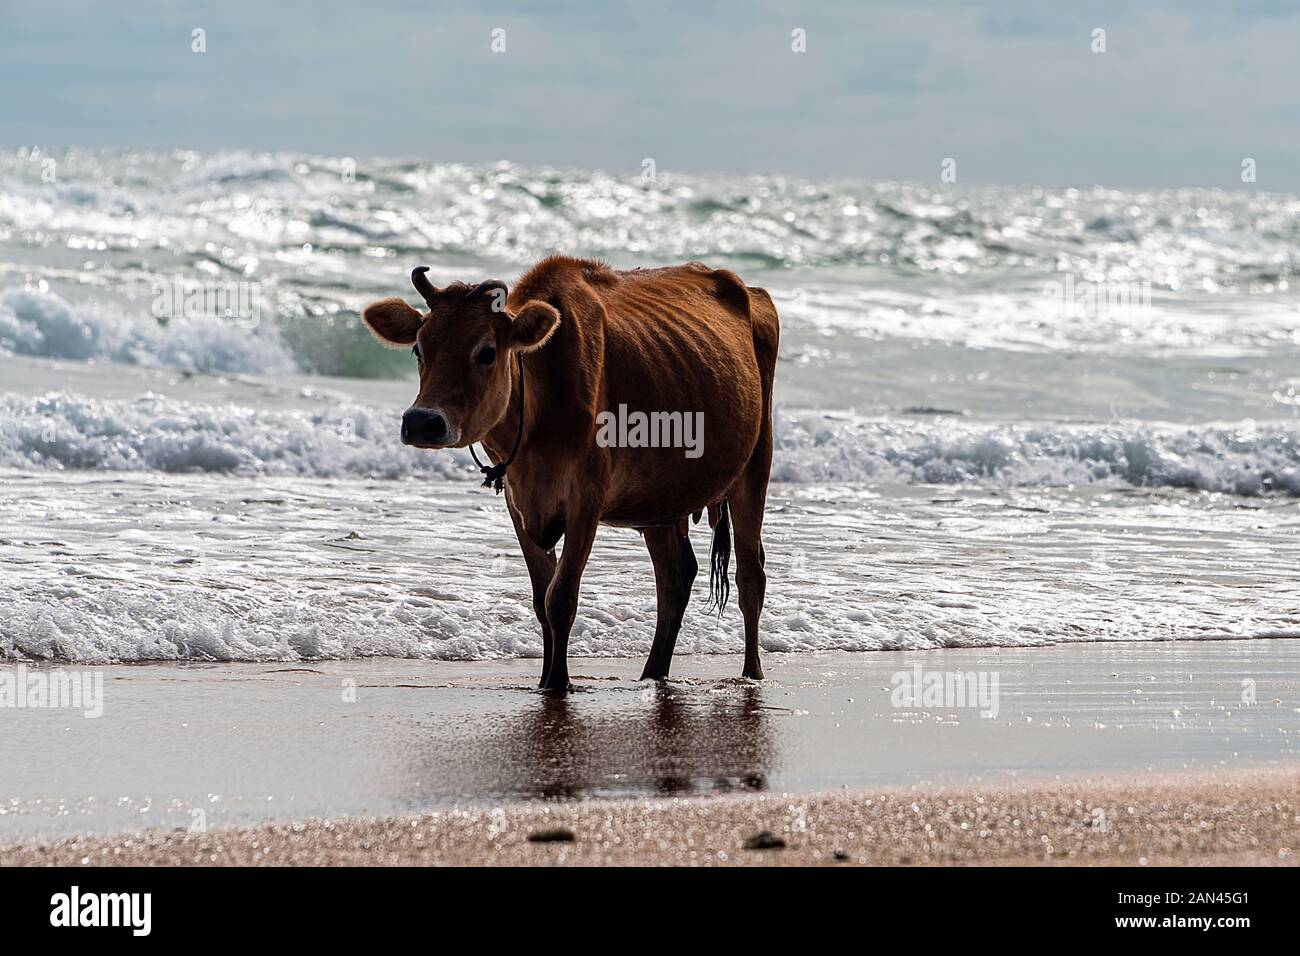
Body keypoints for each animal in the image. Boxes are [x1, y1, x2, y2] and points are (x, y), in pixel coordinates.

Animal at [361, 256, 778, 694]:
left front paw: (558, 683)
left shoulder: (586, 499)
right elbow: (540, 598)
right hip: (662, 499)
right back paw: (653, 674)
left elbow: (560, 598)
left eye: (487, 352)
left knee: (751, 575)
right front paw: (546, 679)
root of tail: (749, 292)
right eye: (419, 348)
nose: (422, 422)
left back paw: (751, 674)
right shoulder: (518, 503)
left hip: (755, 466)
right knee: (675, 577)